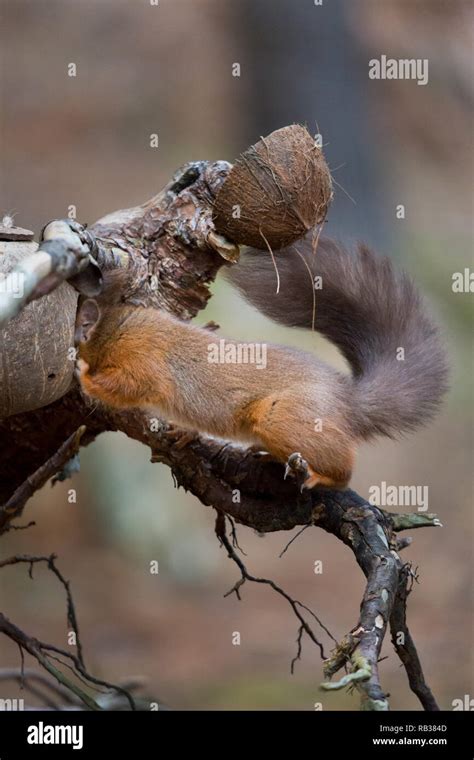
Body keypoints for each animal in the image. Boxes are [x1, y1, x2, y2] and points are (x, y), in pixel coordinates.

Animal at [75, 234, 448, 489]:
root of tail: (348, 400)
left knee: (345, 469)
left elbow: (130, 385)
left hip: (284, 417)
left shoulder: (145, 357)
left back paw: (319, 476)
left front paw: (84, 375)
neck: (117, 326)